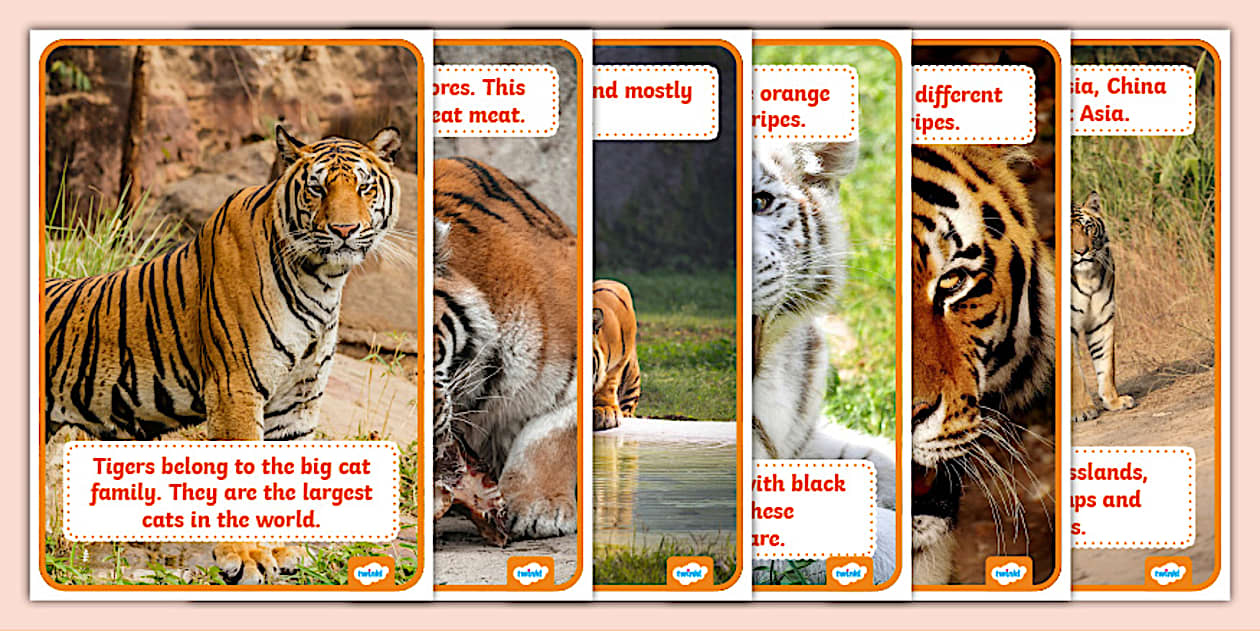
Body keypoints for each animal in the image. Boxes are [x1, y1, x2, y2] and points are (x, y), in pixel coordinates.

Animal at [42, 125, 403, 584]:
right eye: (317, 189)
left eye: (364, 186)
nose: (343, 229)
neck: (322, 279)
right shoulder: (236, 388)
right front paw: (245, 559)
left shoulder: (298, 399)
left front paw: (285, 552)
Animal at [1071, 190, 1135, 423]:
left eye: (1087, 228)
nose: (1081, 251)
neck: (1087, 277)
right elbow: (1075, 373)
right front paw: (1081, 409)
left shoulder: (1101, 320)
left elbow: (1106, 364)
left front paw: (1114, 401)